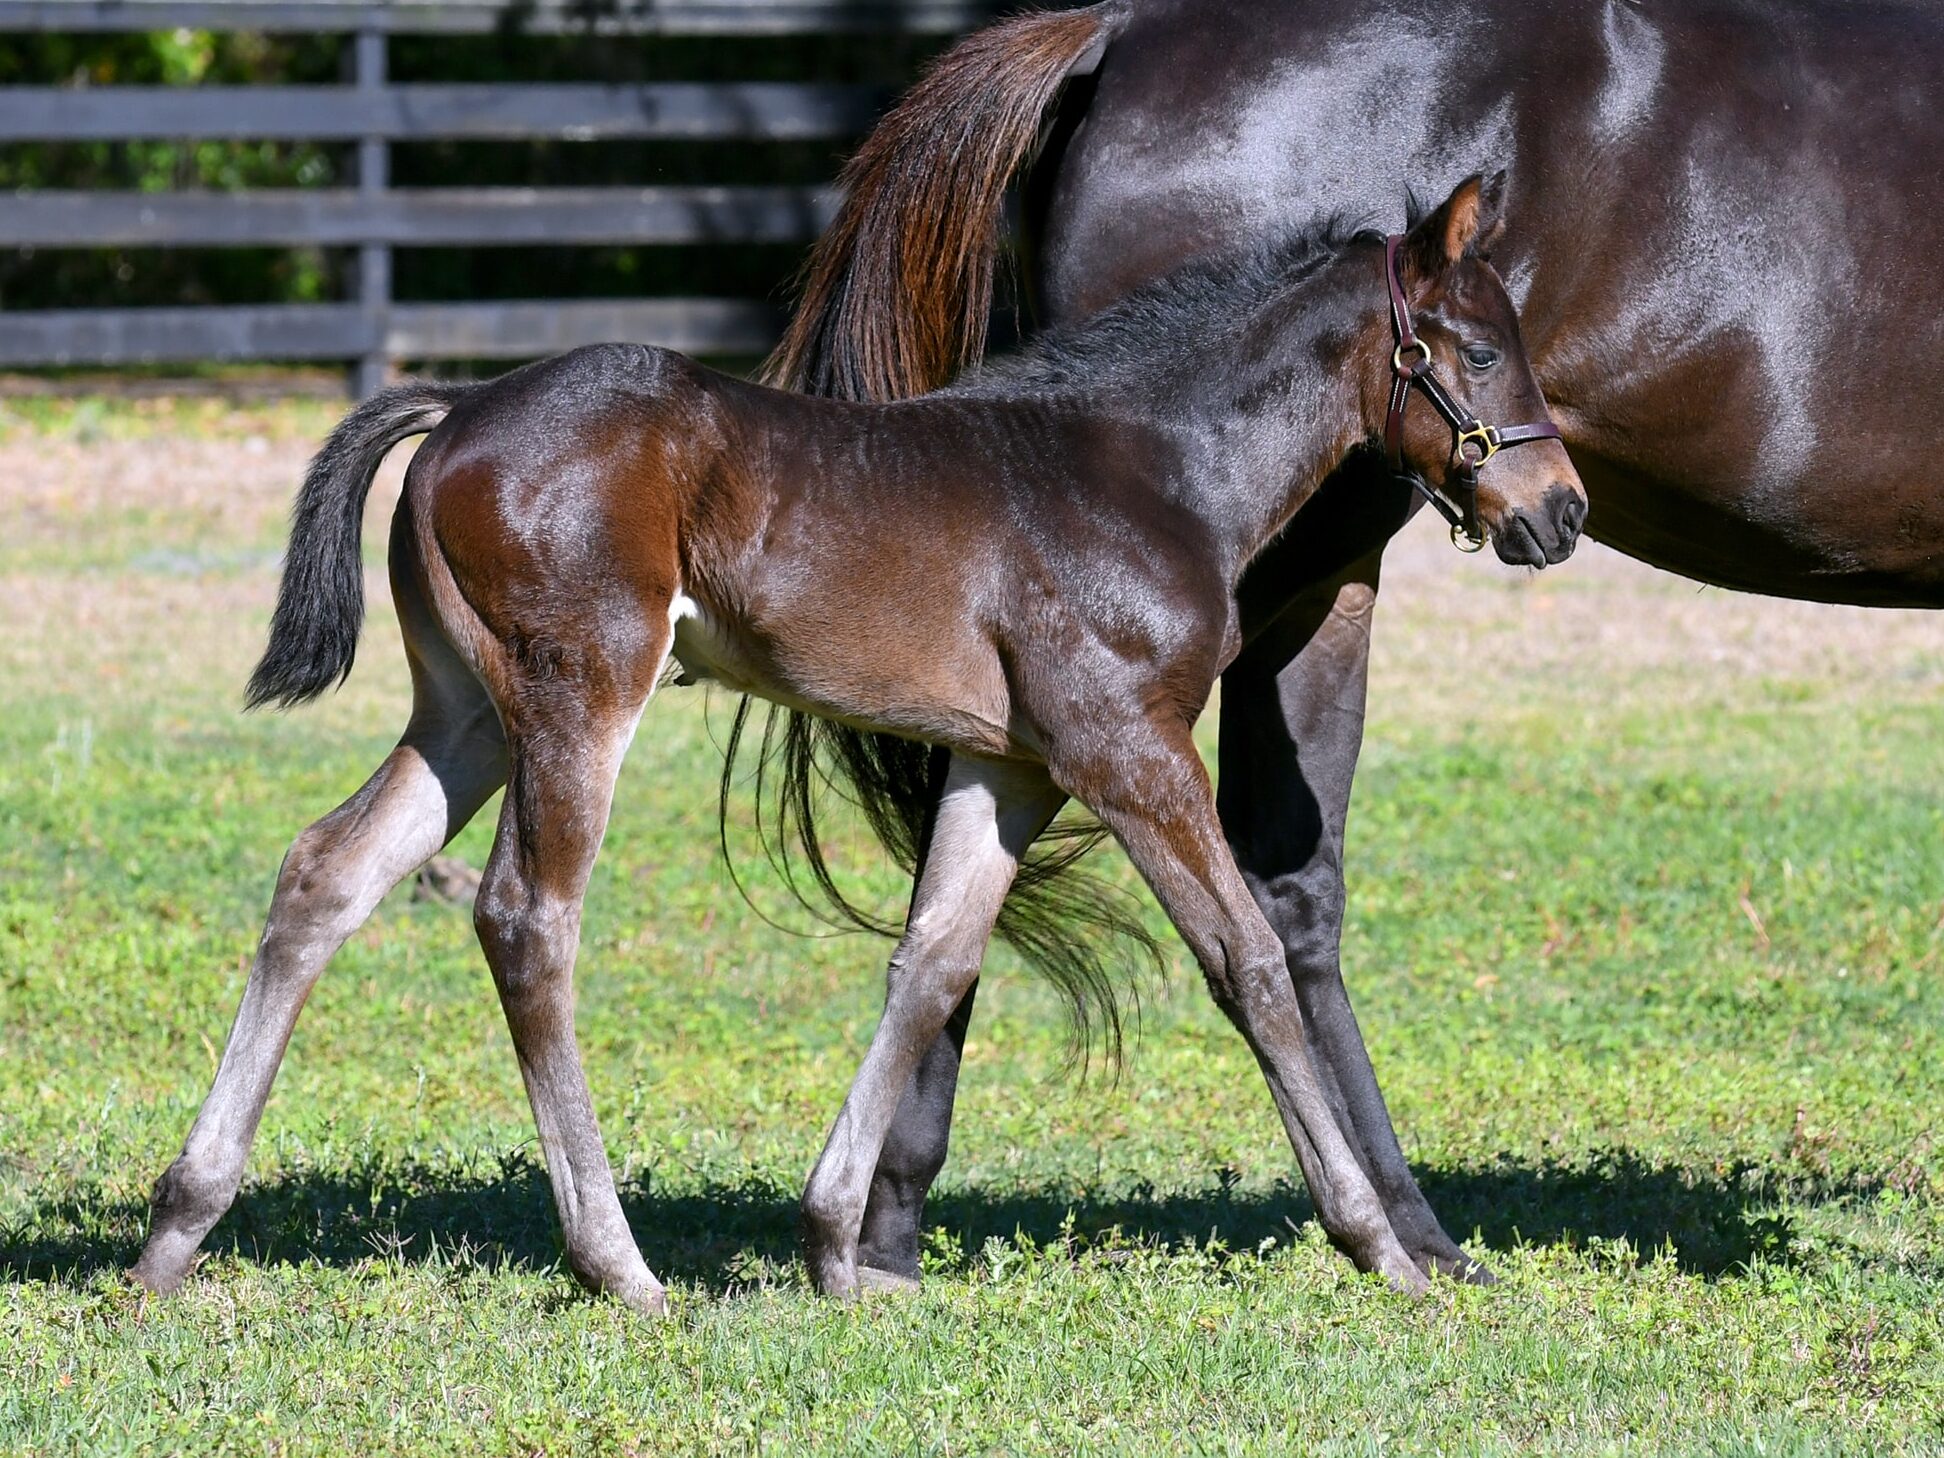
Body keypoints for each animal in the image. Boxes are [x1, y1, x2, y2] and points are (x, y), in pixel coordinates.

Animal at [128, 176, 1582, 1310]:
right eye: (1470, 347)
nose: (1559, 511)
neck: (1150, 468)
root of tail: (461, 412)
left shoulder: (1016, 765)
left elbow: (931, 962)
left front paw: (836, 1246)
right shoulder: (1127, 748)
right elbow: (1250, 962)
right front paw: (1382, 1247)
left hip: (464, 712)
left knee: (326, 871)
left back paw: (176, 1230)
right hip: (579, 689)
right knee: (527, 917)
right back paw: (618, 1264)